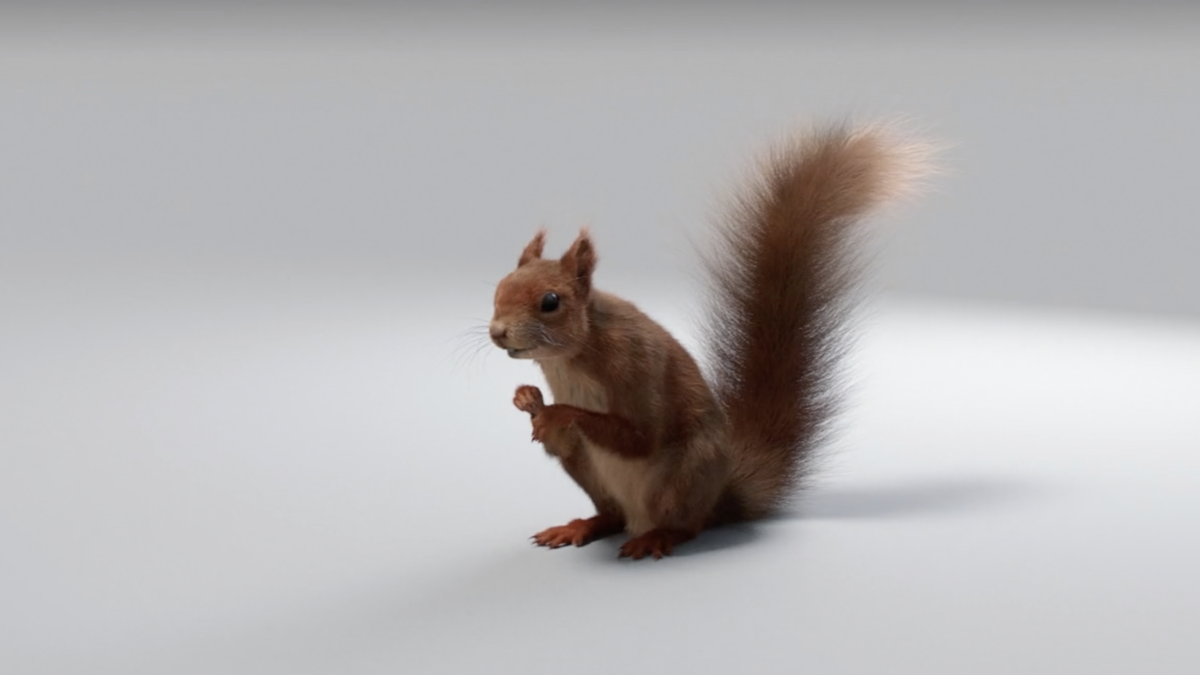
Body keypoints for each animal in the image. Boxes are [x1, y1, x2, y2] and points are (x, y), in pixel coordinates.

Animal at [488, 122, 931, 560]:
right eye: (498, 288)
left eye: (551, 302)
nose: (497, 332)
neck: (570, 357)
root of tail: (717, 496)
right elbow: (561, 437)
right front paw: (529, 399)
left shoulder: (633, 365)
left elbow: (640, 436)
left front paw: (557, 412)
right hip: (589, 470)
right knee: (610, 513)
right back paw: (583, 525)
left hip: (686, 473)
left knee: (689, 526)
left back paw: (656, 537)